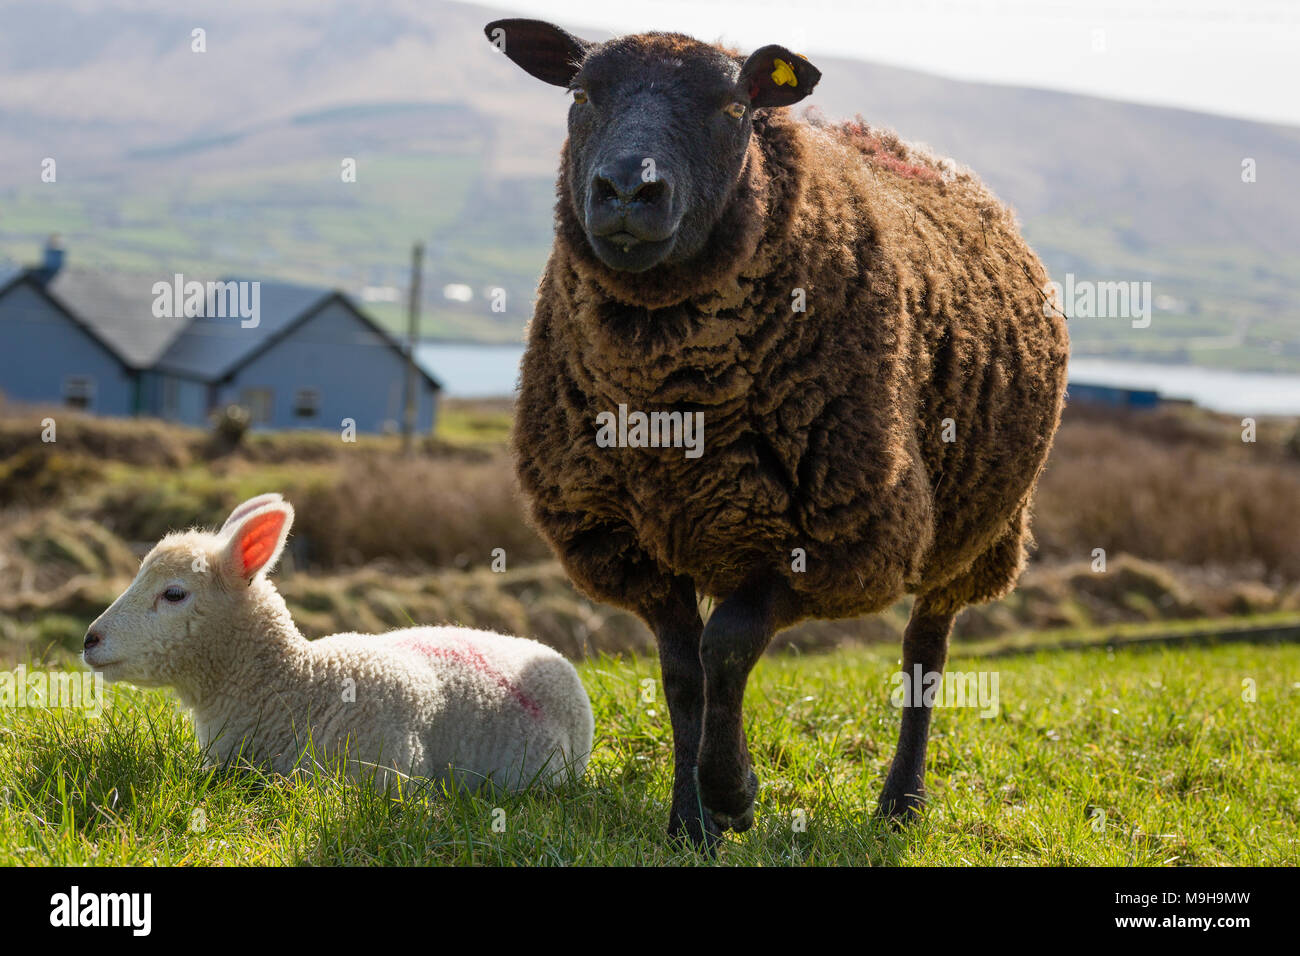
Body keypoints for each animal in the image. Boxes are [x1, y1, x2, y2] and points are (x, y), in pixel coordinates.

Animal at [486, 20, 1070, 847]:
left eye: (734, 107)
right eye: (580, 94)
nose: (629, 191)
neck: (672, 413)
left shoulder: (839, 542)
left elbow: (726, 649)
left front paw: (733, 793)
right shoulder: (627, 542)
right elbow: (684, 676)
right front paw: (689, 822)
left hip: (977, 531)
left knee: (925, 654)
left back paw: (901, 803)